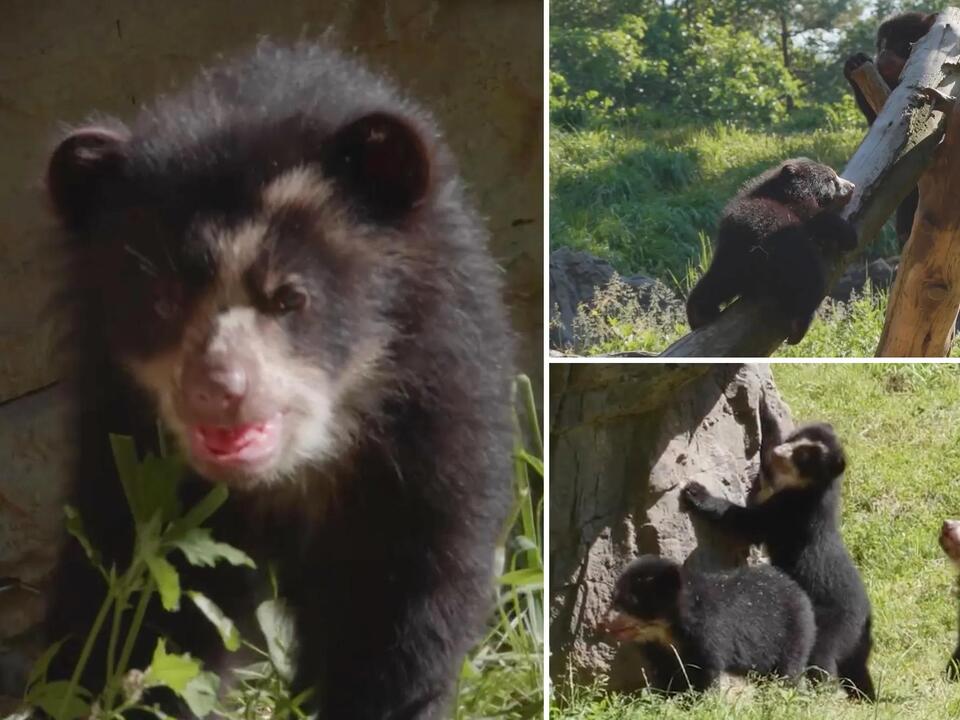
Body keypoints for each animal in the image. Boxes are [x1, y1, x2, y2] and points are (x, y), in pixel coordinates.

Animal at [685, 158, 857, 344]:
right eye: (831, 179)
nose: (852, 186)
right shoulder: (799, 209)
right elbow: (822, 219)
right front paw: (850, 237)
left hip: (729, 259)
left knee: (717, 282)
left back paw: (698, 313)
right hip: (792, 255)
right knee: (810, 283)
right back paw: (801, 323)